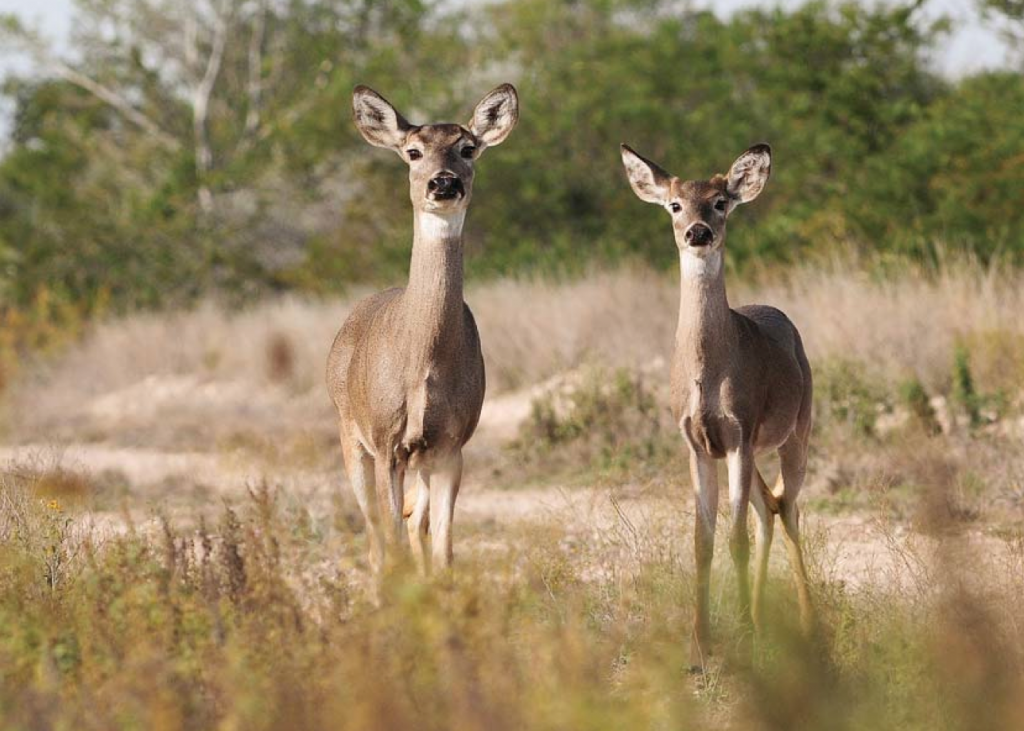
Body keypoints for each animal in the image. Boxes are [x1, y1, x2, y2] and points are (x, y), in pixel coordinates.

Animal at [327, 84, 518, 576]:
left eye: (468, 148)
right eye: (413, 152)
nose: (444, 183)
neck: (422, 363)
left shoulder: (452, 444)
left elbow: (443, 547)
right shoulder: (385, 442)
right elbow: (390, 543)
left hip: (422, 456)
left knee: (416, 527)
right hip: (350, 433)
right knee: (377, 540)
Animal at [620, 142, 814, 669]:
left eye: (720, 202)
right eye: (674, 204)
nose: (698, 232)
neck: (707, 375)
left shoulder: (741, 431)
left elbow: (734, 538)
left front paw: (740, 637)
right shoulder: (697, 443)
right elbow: (702, 541)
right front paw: (700, 646)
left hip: (798, 429)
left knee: (788, 509)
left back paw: (812, 627)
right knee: (768, 508)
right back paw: (765, 621)